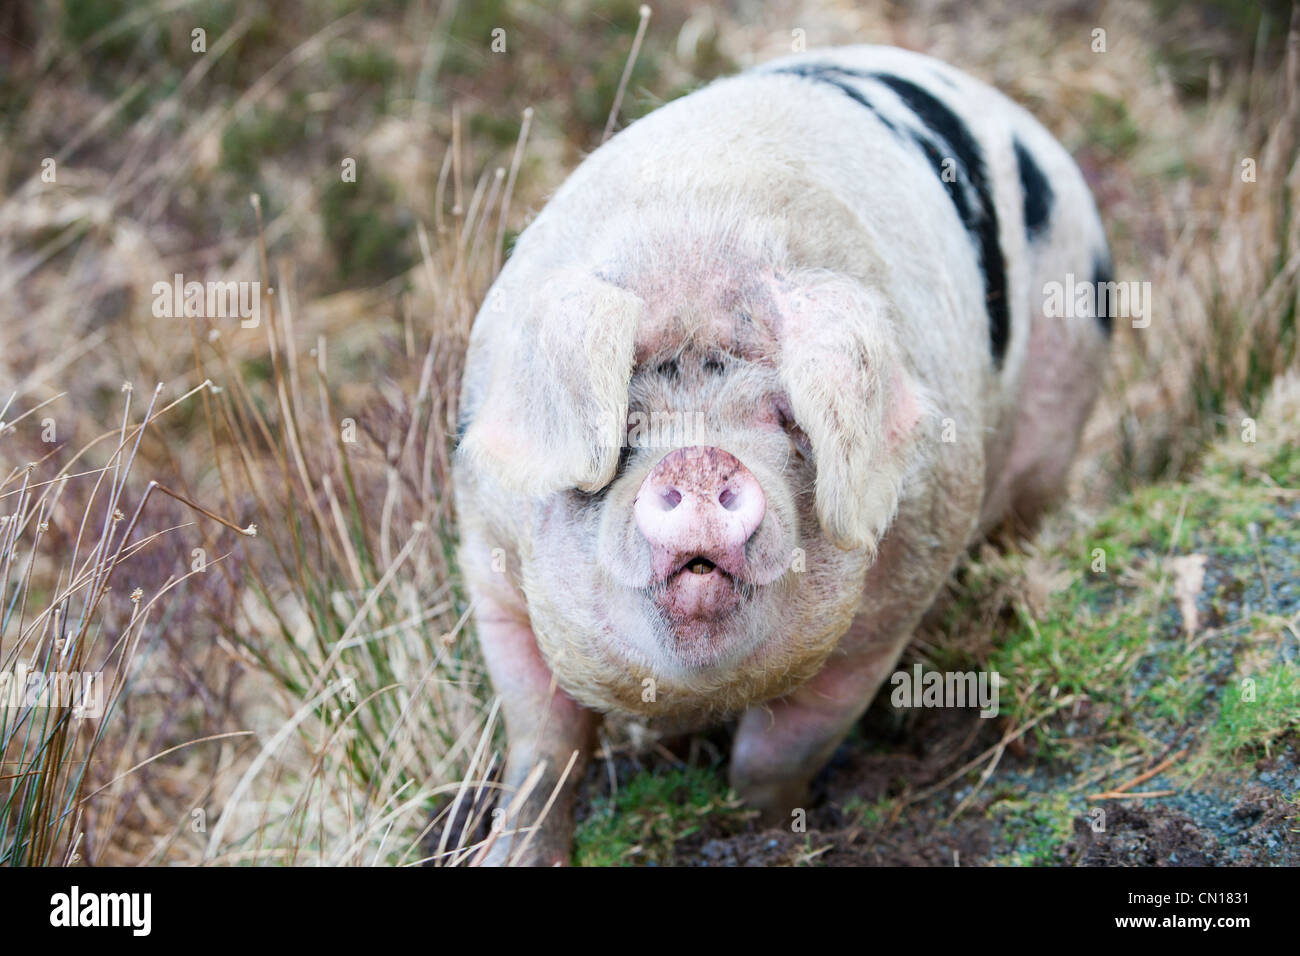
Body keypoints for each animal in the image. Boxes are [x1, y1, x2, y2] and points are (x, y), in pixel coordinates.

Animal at [452, 44, 1111, 865]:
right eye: (628, 424)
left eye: (785, 418)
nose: (700, 462)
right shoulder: (489, 565)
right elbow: (543, 747)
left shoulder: (892, 604)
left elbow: (779, 752)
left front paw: (763, 830)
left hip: (1060, 413)